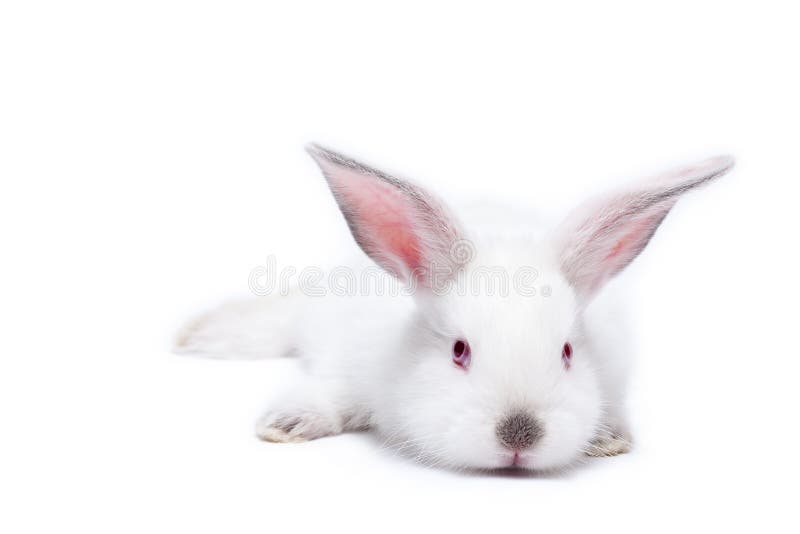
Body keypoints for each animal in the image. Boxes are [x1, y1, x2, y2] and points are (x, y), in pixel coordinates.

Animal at [175, 144, 734, 471]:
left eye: (568, 353)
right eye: (459, 351)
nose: (519, 434)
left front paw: (609, 437)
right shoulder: (344, 365)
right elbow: (325, 395)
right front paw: (286, 425)